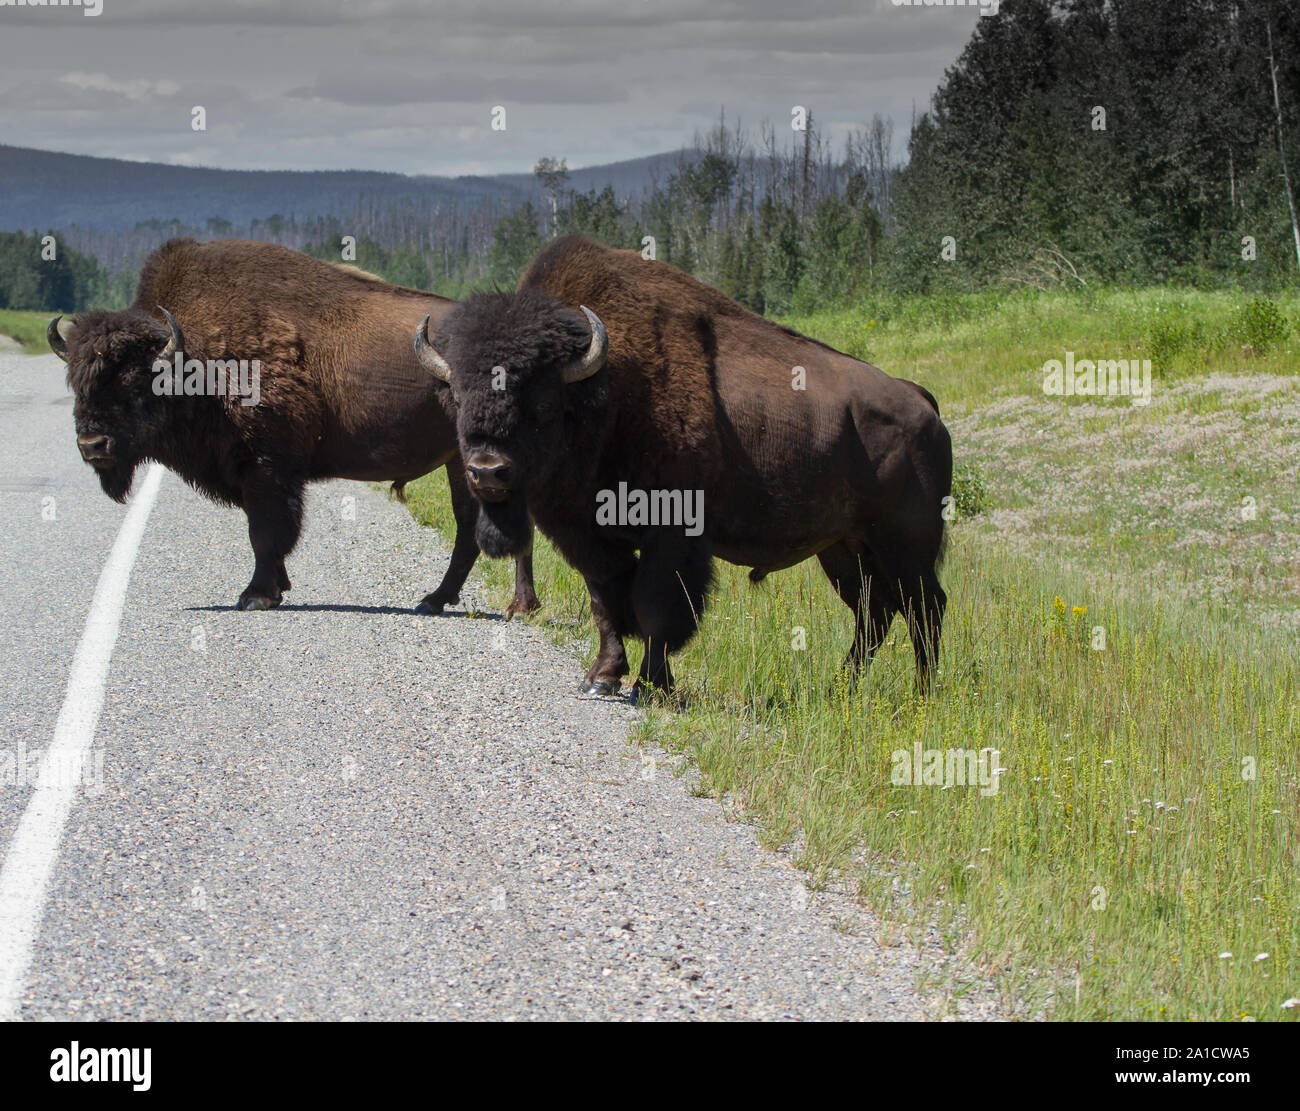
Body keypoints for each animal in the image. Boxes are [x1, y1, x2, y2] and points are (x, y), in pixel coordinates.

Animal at [49, 238, 538, 615]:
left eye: (136, 381)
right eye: (75, 381)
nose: (92, 445)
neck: (197, 358)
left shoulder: (268, 467)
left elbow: (266, 532)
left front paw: (255, 596)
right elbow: (265, 531)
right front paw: (277, 589)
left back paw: (506, 606)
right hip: (464, 461)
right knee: (474, 526)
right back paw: (440, 601)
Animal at [414, 235, 951, 697]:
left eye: (544, 403)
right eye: (458, 397)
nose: (488, 471)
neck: (608, 393)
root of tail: (923, 403)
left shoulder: (672, 533)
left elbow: (656, 606)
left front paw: (651, 686)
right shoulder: (584, 534)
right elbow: (606, 599)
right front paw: (601, 677)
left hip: (905, 544)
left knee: (924, 608)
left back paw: (921, 696)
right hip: (843, 548)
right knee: (875, 612)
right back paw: (843, 688)